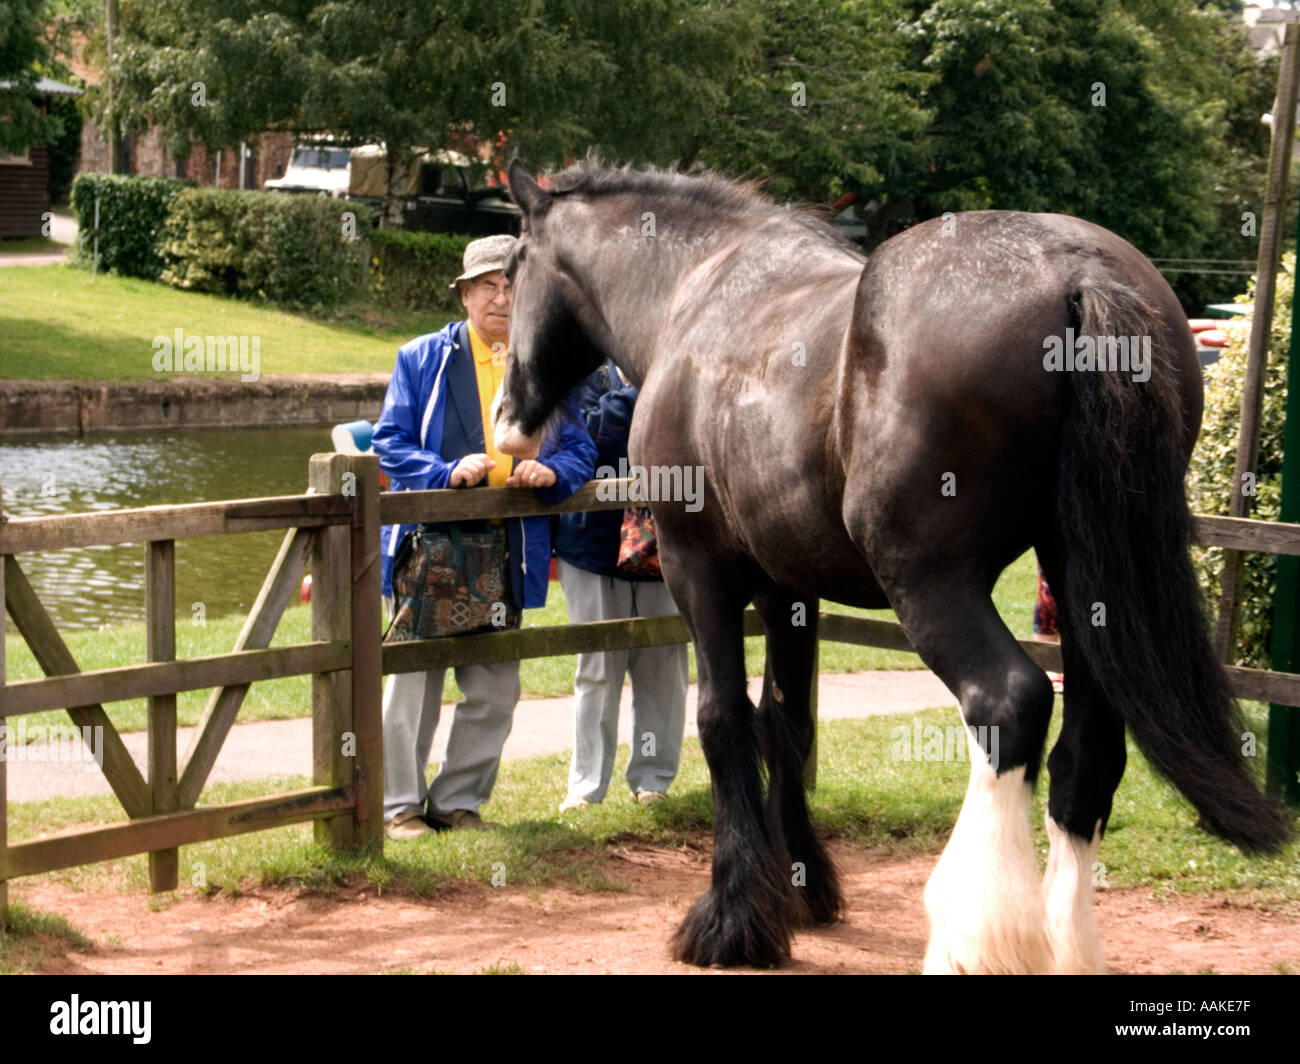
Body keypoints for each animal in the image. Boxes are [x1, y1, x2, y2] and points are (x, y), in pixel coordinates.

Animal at [492, 158, 1292, 973]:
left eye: (515, 269)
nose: (508, 423)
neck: (698, 288)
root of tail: (1077, 272)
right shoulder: (788, 588)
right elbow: (786, 720)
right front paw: (801, 886)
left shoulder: (698, 569)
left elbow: (722, 719)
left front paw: (732, 920)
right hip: (1080, 580)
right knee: (1087, 754)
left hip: (929, 582)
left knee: (1008, 702)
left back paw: (975, 937)